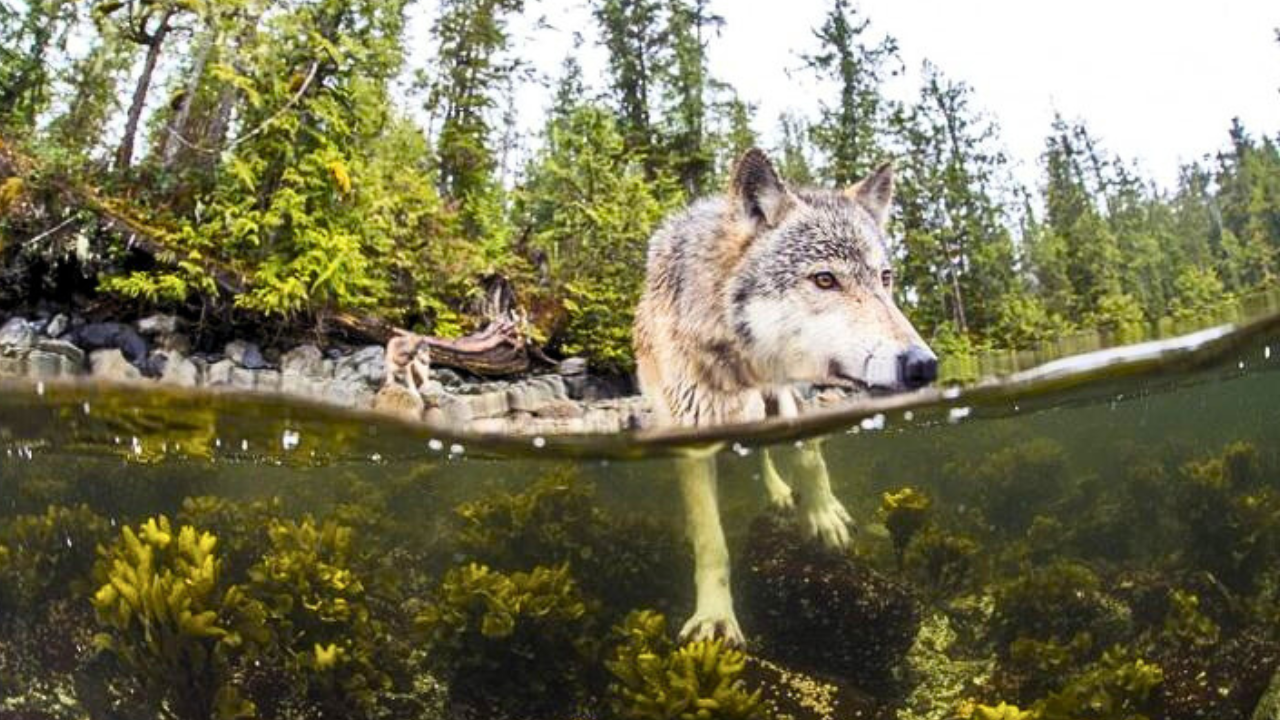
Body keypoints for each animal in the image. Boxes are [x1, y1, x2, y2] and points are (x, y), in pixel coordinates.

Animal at [633, 148, 937, 644]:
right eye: (825, 280)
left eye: (885, 277)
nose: (923, 365)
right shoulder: (691, 436)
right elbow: (711, 540)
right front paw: (715, 617)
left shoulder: (797, 391)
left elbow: (809, 456)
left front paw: (823, 516)